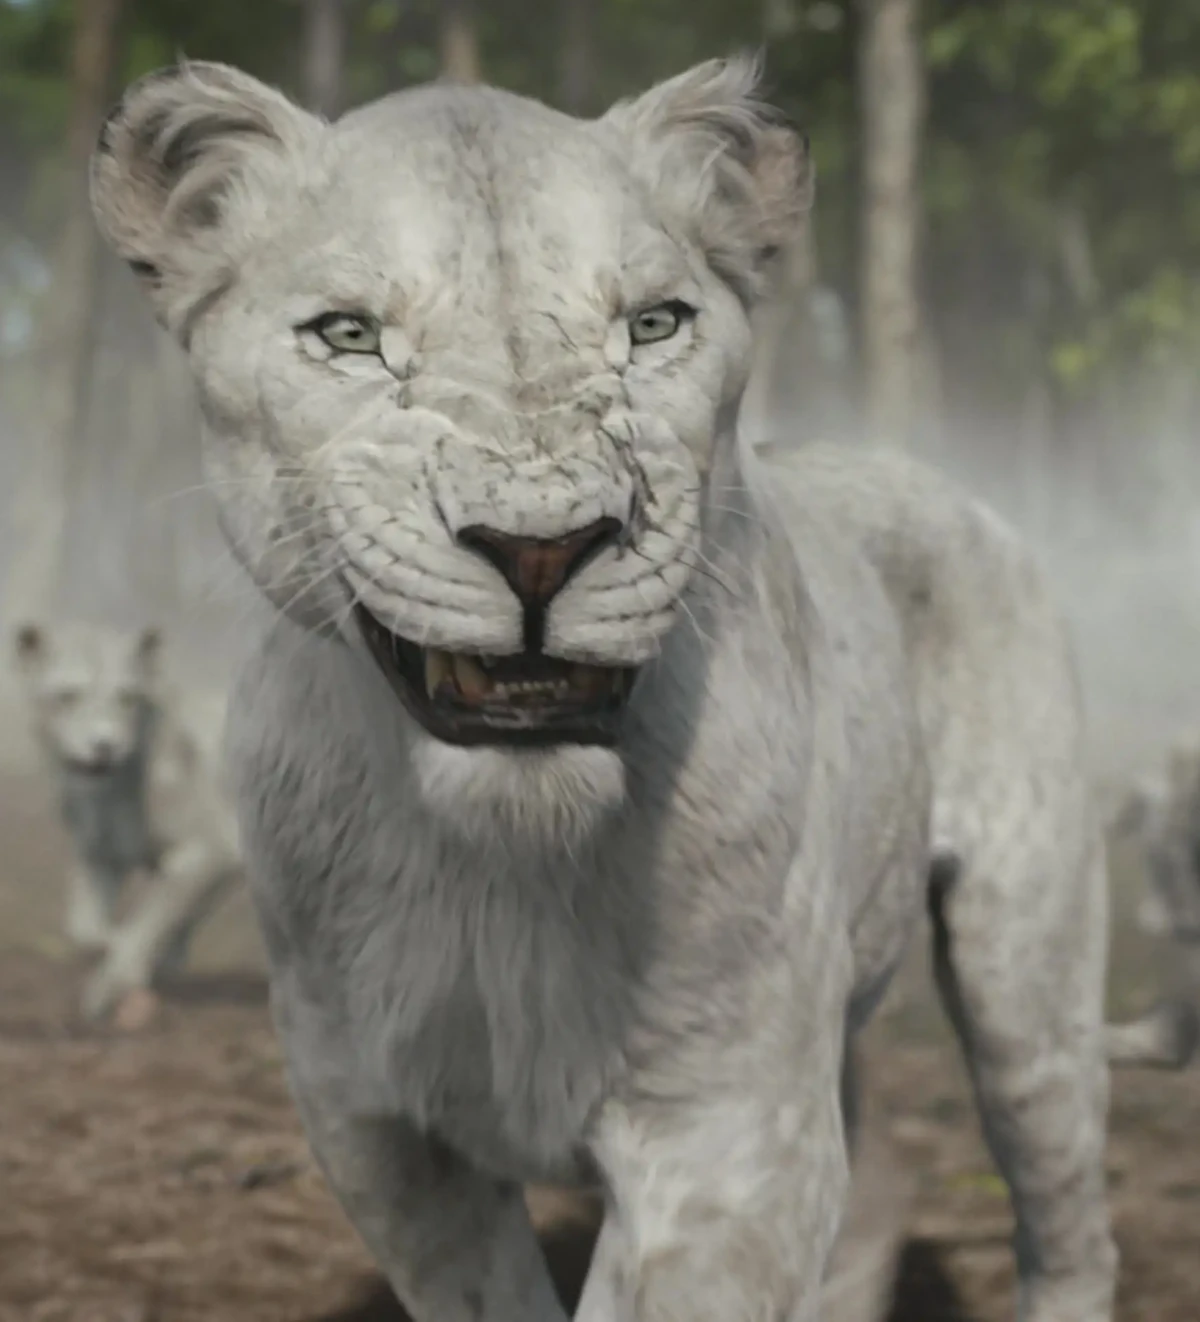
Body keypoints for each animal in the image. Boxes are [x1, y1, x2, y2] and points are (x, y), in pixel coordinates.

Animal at [14, 621, 241, 1021]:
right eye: (68, 696)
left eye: (126, 697)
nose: (104, 745)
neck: (107, 796)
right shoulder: (101, 858)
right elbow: (85, 930)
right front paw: (129, 958)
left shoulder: (213, 850)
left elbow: (151, 917)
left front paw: (111, 985)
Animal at [90, 56, 1118, 1321]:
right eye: (348, 335)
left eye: (654, 324)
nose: (541, 547)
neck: (505, 861)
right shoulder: (375, 1122)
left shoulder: (728, 1130)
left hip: (1027, 970)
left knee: (1066, 1212)